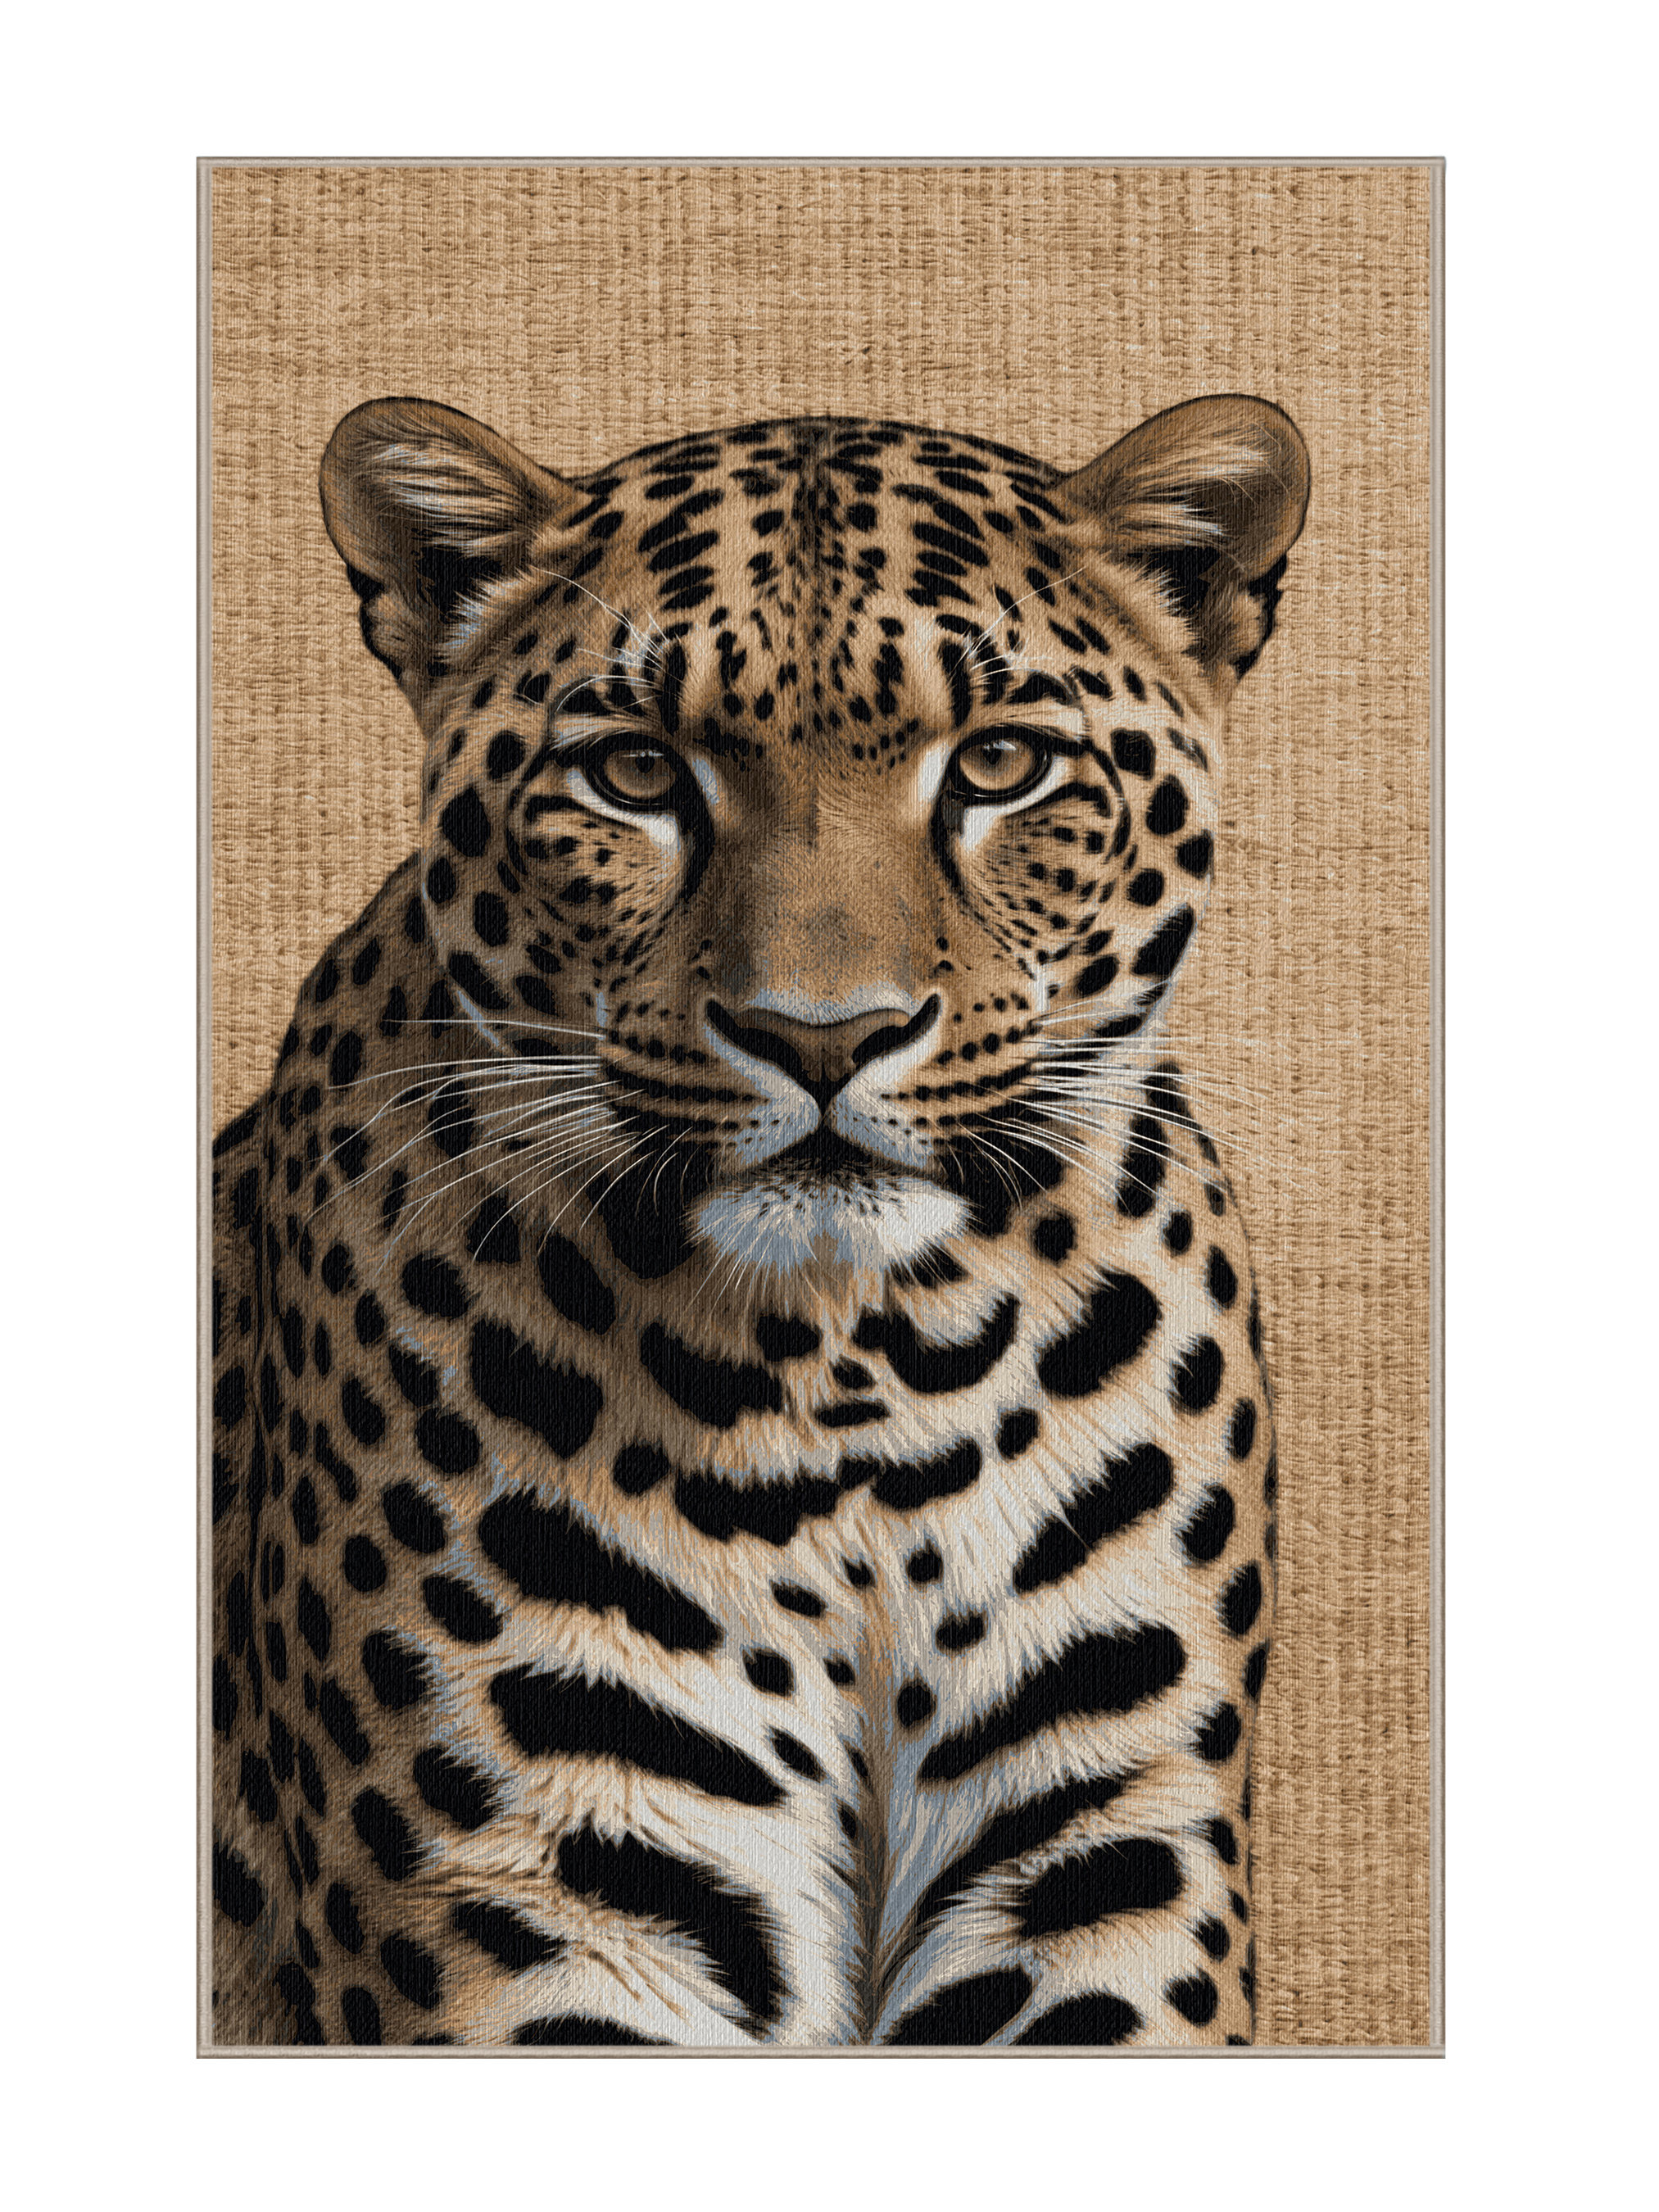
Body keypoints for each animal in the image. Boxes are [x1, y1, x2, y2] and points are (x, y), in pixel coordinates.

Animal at [210, 390, 1308, 2048]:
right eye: (634, 775)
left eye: (999, 766)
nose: (821, 1036)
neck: (865, 1375)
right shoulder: (542, 1885)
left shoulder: (1099, 1854)